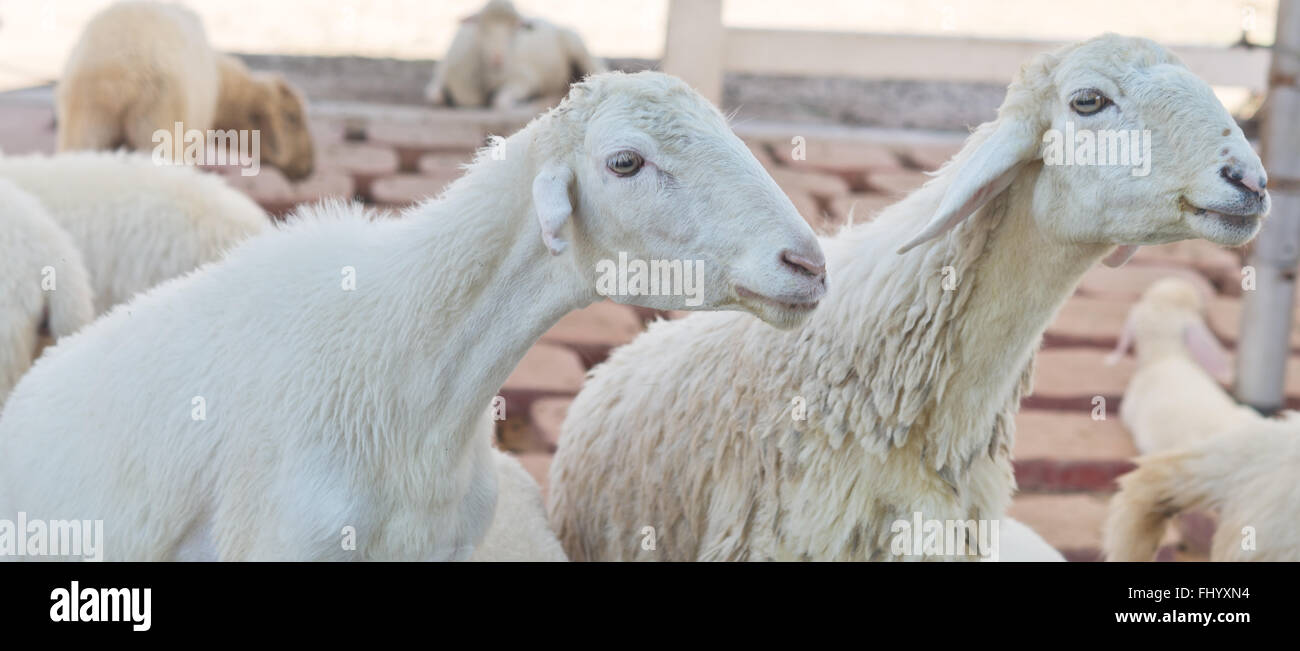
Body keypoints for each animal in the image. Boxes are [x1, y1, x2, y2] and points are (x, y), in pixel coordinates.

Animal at [425, 0, 607, 109]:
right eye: (483, 28)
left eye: (515, 30)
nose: (498, 59)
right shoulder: (440, 73)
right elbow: (435, 96)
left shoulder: (525, 78)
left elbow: (500, 102)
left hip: (576, 45)